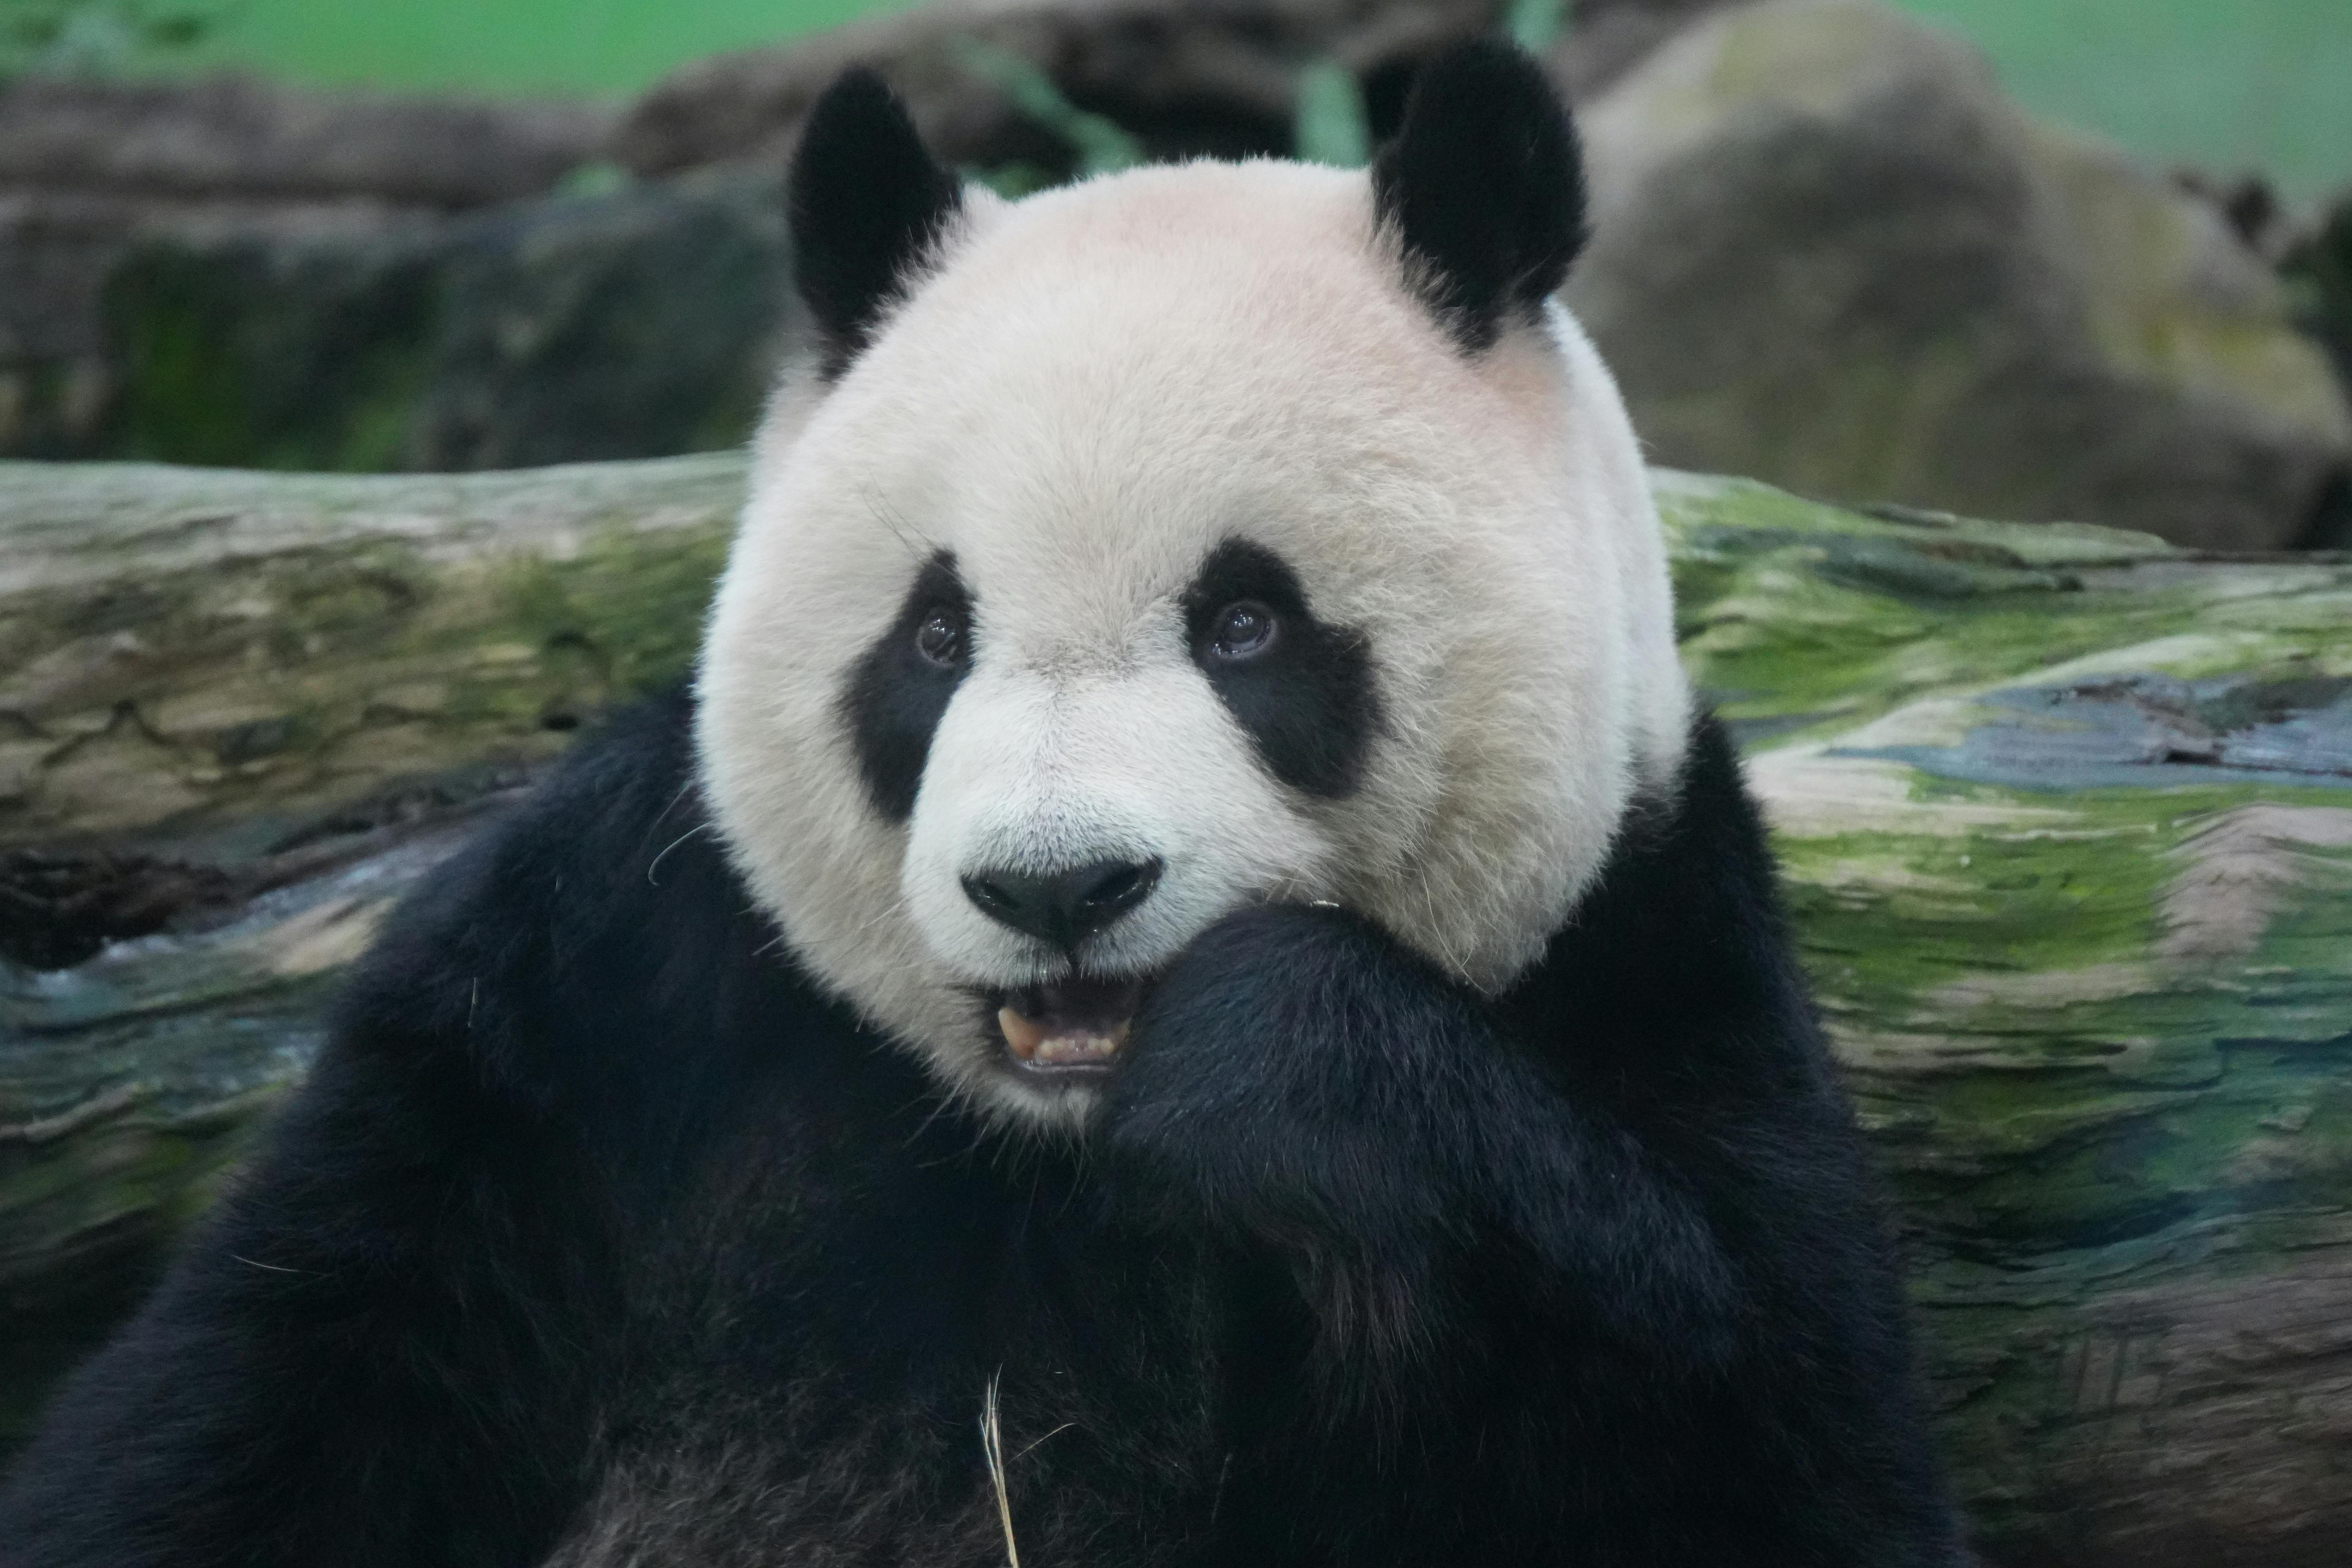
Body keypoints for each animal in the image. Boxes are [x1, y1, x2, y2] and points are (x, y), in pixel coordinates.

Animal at [0, 42, 1964, 1568]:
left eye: (1248, 624)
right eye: (934, 634)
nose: (1057, 887)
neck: (1056, 1144)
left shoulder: (1653, 930)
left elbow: (1773, 1448)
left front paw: (1272, 1067)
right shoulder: (595, 991)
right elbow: (270, 1402)